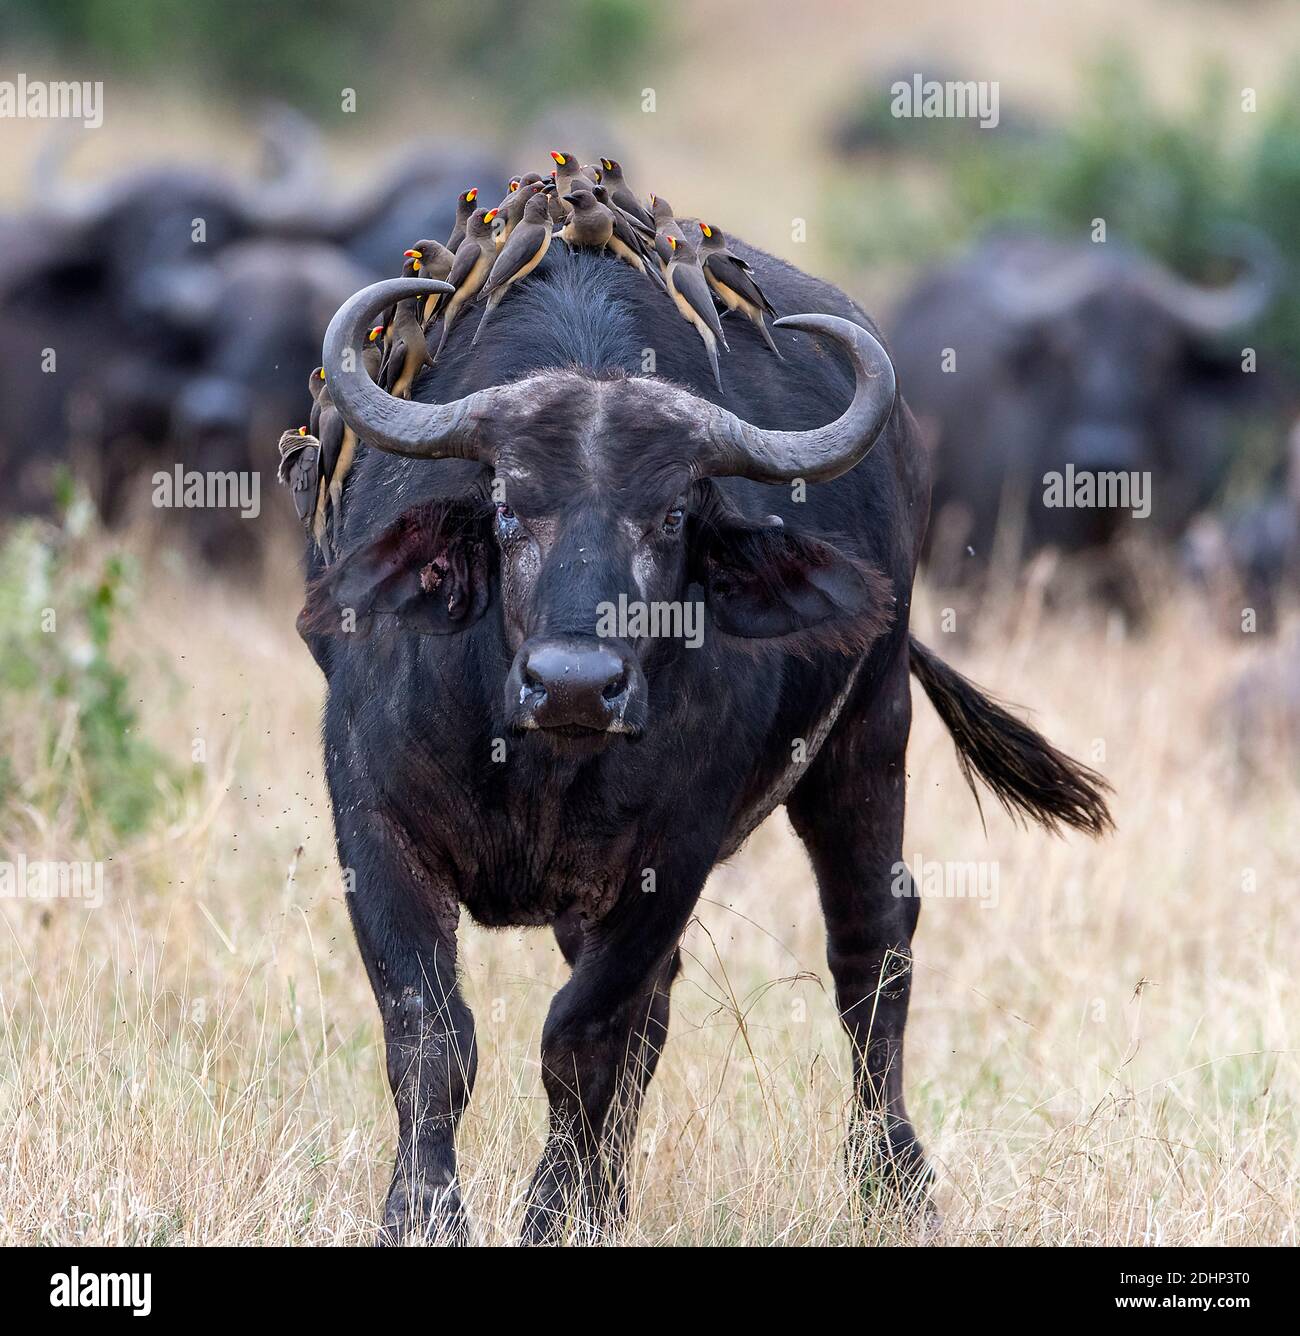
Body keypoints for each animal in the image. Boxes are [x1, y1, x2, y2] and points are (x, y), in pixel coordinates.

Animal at [299, 243, 1112, 1244]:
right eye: (507, 510)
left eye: (672, 518)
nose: (576, 680)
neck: (540, 759)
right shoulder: (373, 820)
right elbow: (431, 1033)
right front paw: (425, 1216)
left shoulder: (672, 854)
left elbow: (581, 1040)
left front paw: (553, 1213)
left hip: (871, 726)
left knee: (871, 945)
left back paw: (893, 1182)